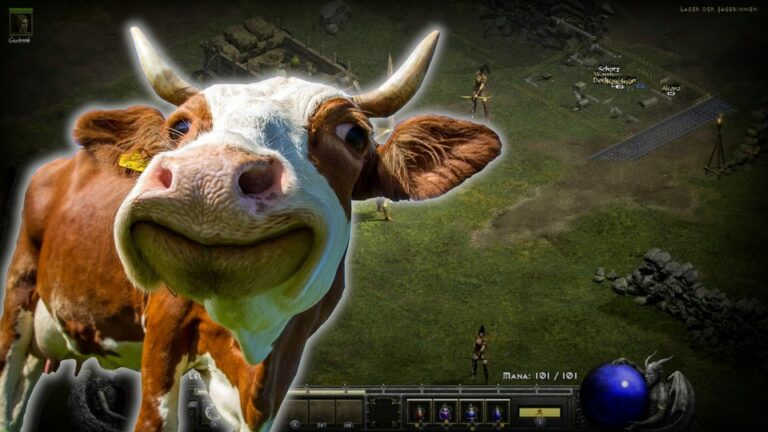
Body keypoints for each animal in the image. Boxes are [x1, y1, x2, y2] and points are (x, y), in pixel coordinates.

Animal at [0, 26, 502, 431]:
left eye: (355, 135)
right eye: (179, 127)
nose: (207, 177)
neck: (251, 331)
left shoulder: (278, 371)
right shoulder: (162, 337)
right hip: (17, 307)